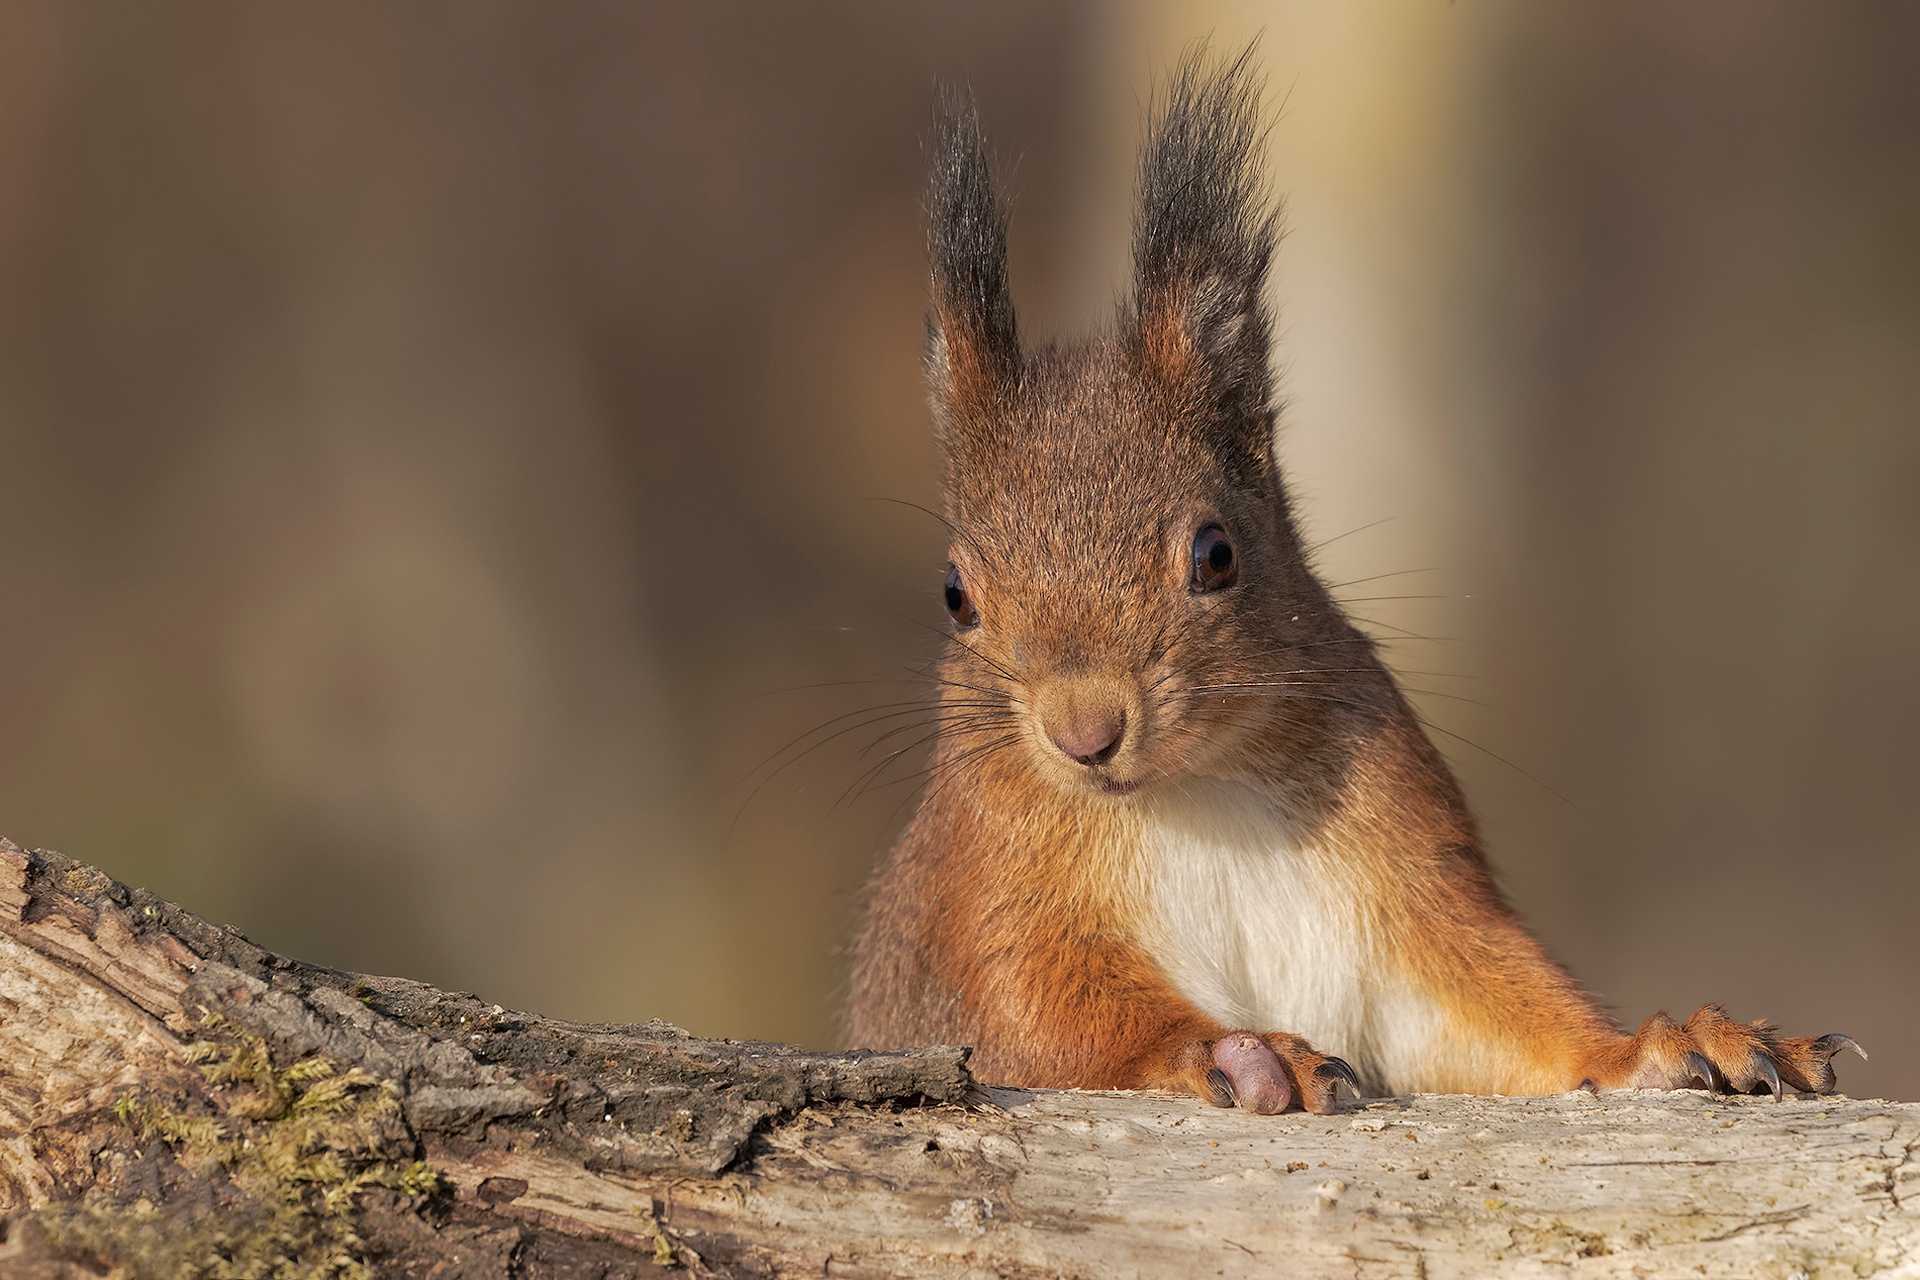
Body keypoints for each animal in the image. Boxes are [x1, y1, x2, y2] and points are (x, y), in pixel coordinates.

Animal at [845, 49, 1862, 1115]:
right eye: (955, 594)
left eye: (1216, 555)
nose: (1084, 734)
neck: (1192, 793)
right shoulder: (979, 908)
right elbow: (1040, 1012)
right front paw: (1241, 1050)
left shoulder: (1401, 876)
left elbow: (1485, 1005)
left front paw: (1662, 1046)